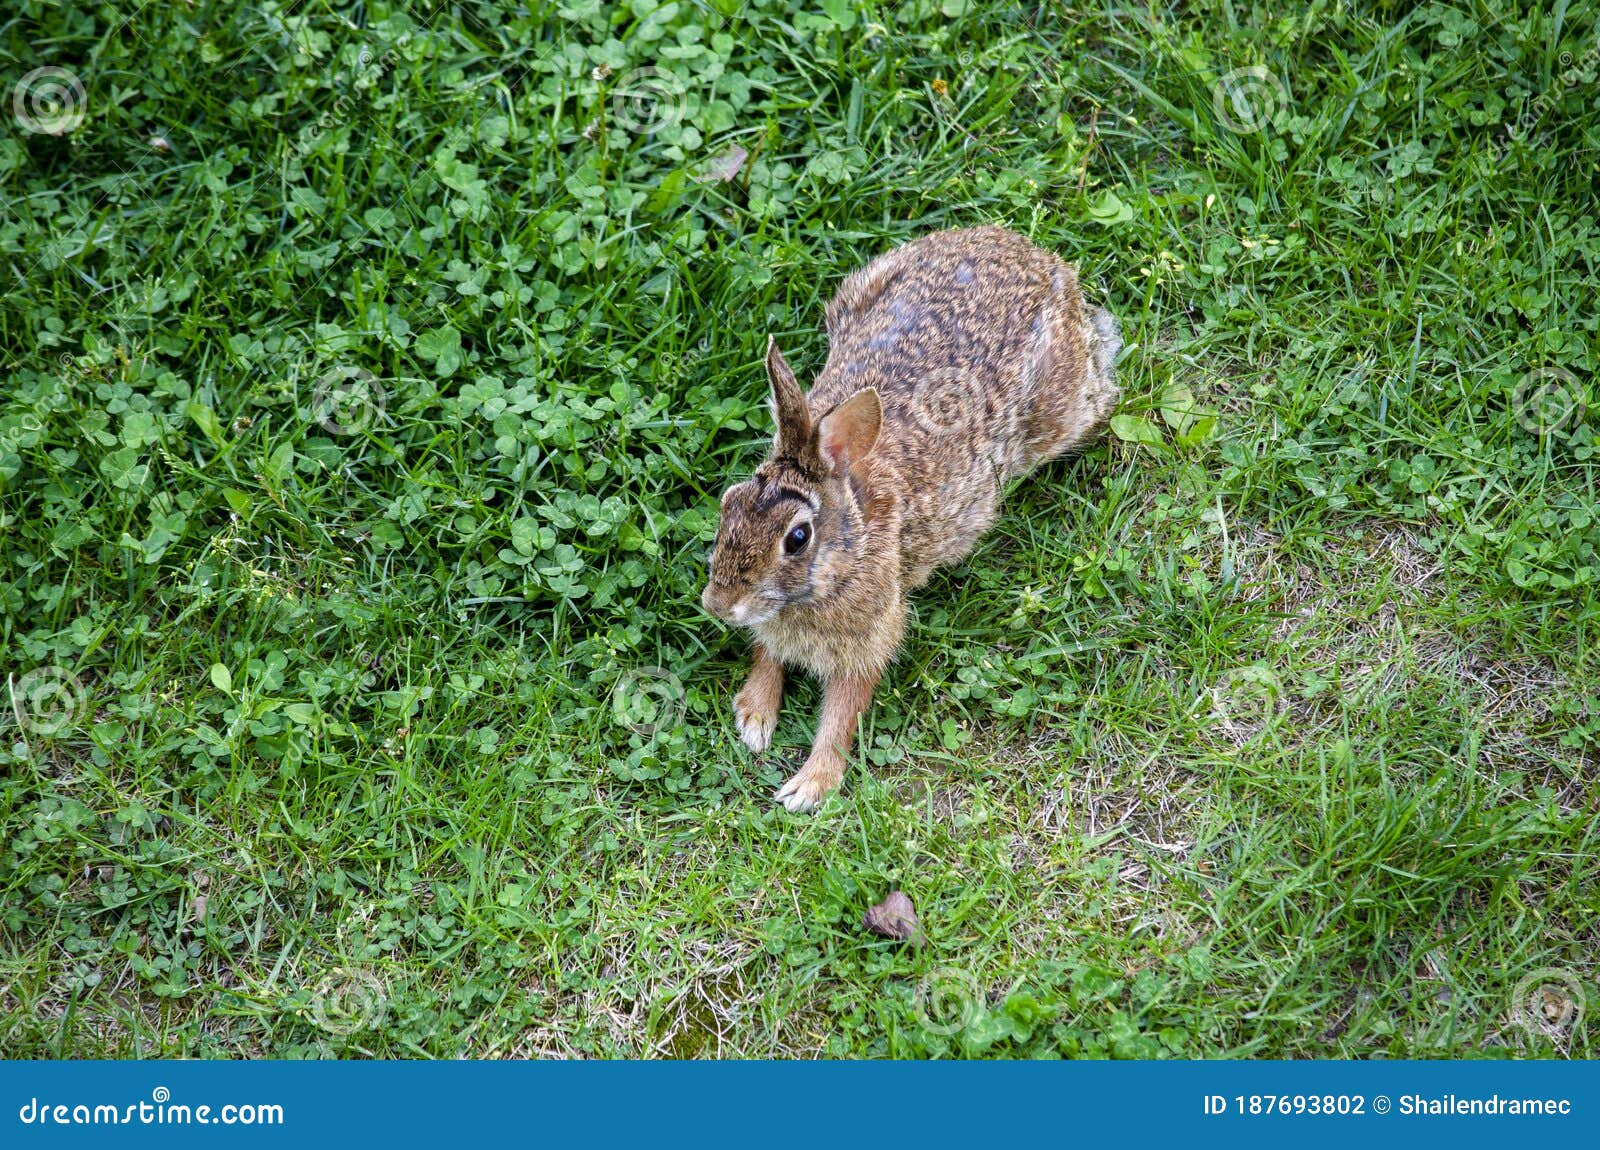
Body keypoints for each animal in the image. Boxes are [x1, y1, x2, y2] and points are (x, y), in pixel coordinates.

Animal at [701, 226, 1121, 812]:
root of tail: (1045, 262)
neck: (850, 543)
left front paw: (810, 787)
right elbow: (768, 653)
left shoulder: (872, 633)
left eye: (797, 538)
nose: (716, 605)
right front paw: (755, 717)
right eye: (730, 501)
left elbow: (843, 712)